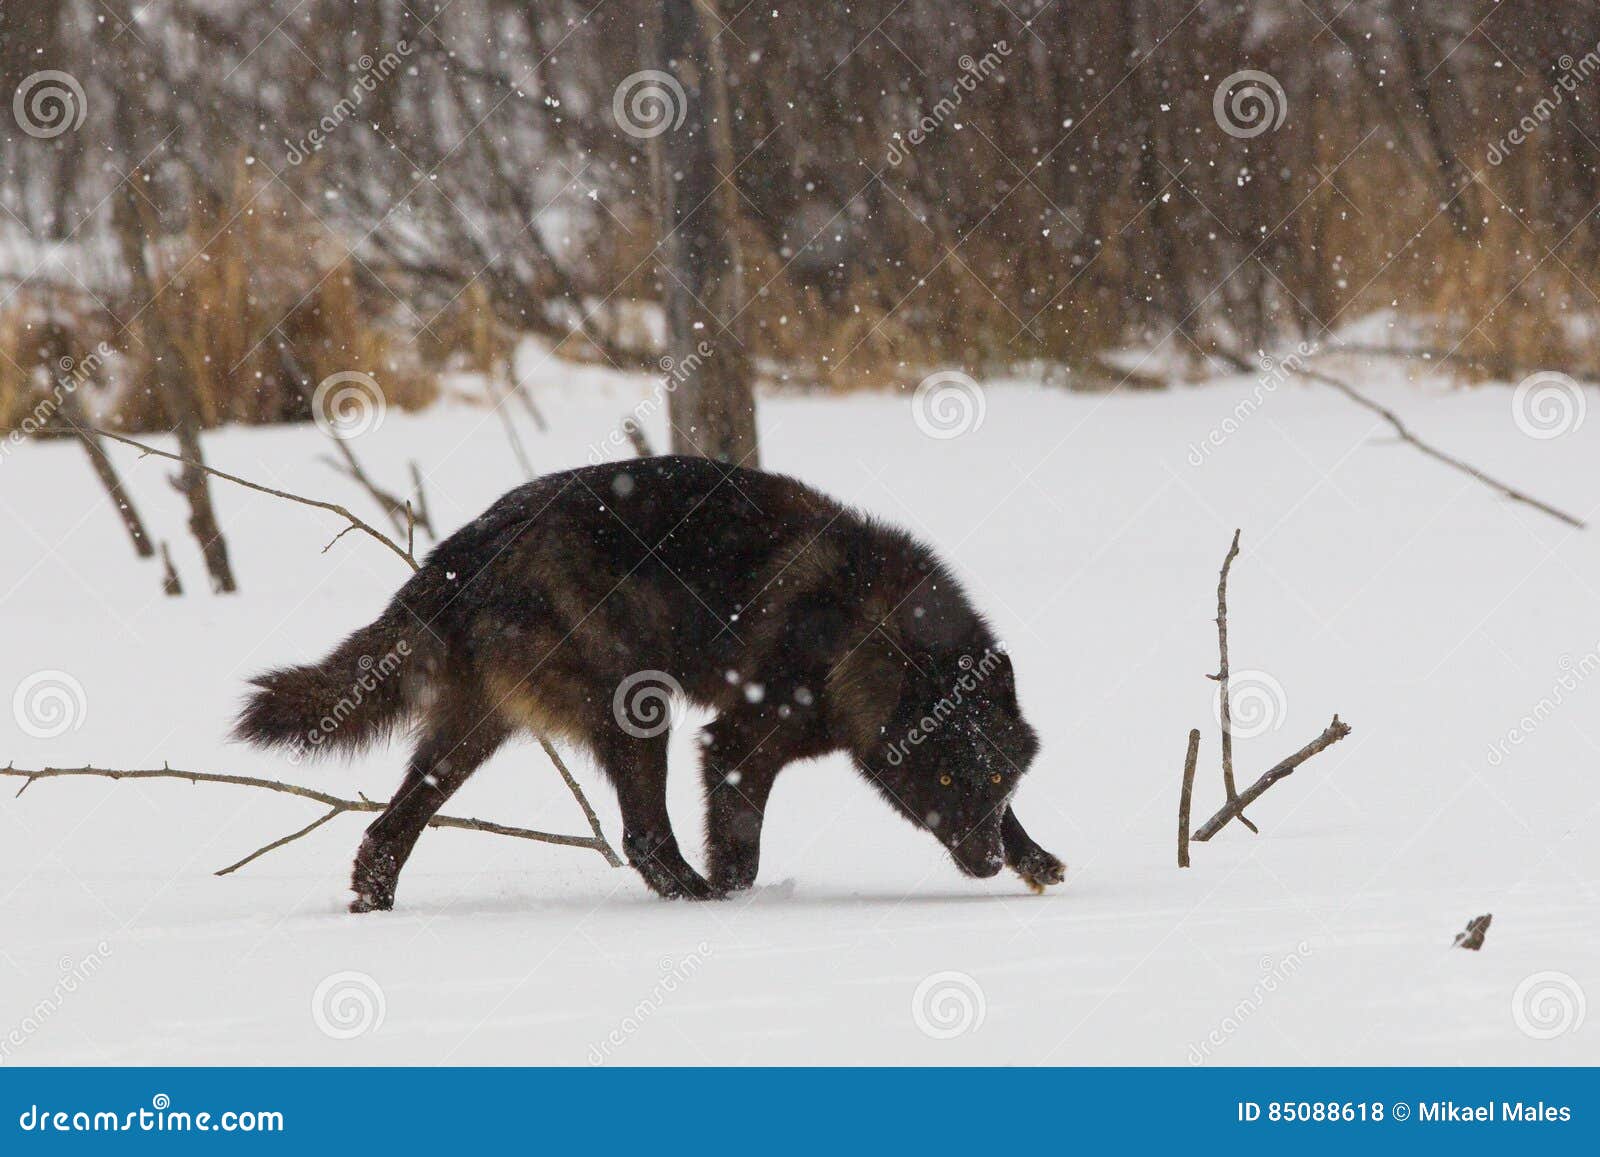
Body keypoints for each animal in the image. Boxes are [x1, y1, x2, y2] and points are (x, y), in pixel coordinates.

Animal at [235, 455, 1065, 911]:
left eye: (995, 779)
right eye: (944, 778)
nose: (987, 865)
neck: (868, 630)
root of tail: (455, 555)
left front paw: (1036, 860)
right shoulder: (733, 743)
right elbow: (739, 851)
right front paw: (738, 903)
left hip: (470, 737)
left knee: (383, 835)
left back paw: (372, 910)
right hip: (640, 712)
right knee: (644, 841)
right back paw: (695, 902)